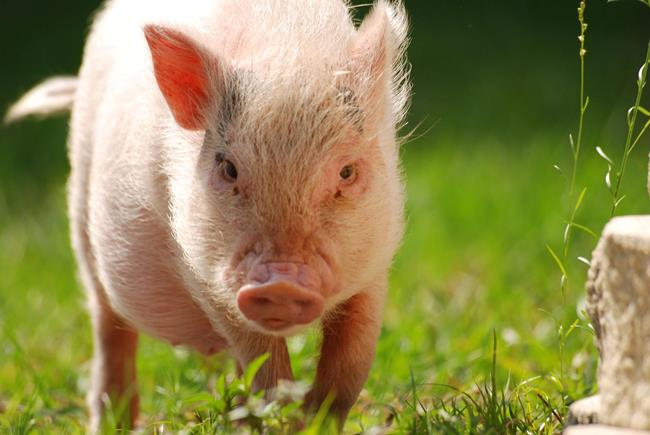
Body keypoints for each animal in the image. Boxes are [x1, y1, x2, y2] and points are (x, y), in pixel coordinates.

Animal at [6, 0, 410, 430]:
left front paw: (309, 422)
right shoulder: (205, 271)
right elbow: (265, 364)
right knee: (109, 330)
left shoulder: (377, 262)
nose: (282, 283)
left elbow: (350, 366)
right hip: (81, 214)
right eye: (229, 169)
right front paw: (283, 418)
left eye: (347, 172)